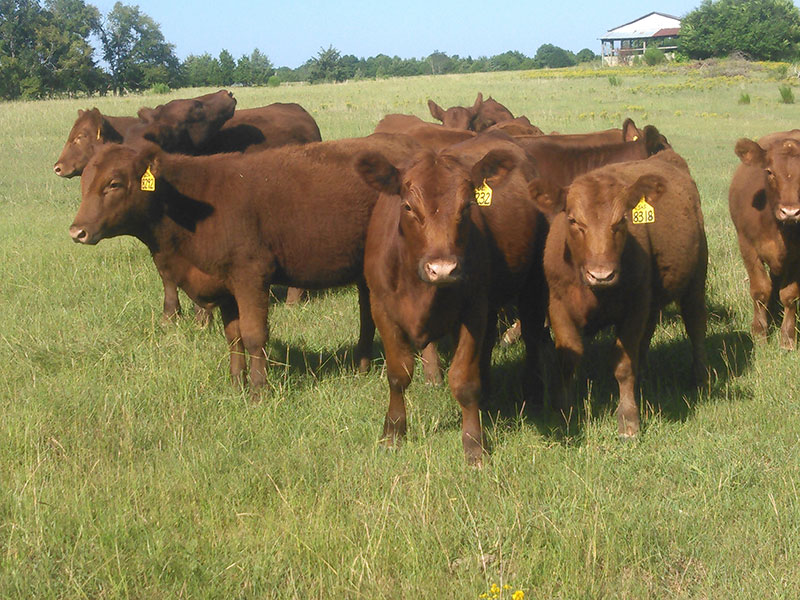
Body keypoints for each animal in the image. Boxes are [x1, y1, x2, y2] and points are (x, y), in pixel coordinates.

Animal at [68, 133, 422, 393]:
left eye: (114, 183)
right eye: (84, 182)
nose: (77, 231)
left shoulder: (250, 276)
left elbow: (254, 334)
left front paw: (258, 389)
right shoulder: (224, 285)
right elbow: (234, 336)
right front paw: (236, 383)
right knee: (367, 315)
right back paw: (362, 366)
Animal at [356, 134, 547, 464]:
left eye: (467, 205)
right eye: (408, 206)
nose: (442, 268)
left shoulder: (473, 309)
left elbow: (464, 380)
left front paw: (474, 444)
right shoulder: (382, 308)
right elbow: (398, 374)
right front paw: (393, 433)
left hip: (532, 281)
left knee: (533, 335)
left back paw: (532, 394)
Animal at [538, 150, 708, 438]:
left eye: (621, 221)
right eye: (573, 221)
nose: (601, 274)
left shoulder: (634, 307)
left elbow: (623, 365)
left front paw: (629, 419)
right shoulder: (558, 306)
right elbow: (568, 360)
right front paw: (563, 413)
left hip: (695, 282)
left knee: (695, 328)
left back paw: (699, 378)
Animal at [729, 131, 800, 349]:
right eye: (769, 171)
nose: (790, 211)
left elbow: (790, 295)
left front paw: (787, 338)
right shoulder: (747, 247)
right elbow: (760, 290)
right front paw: (760, 332)